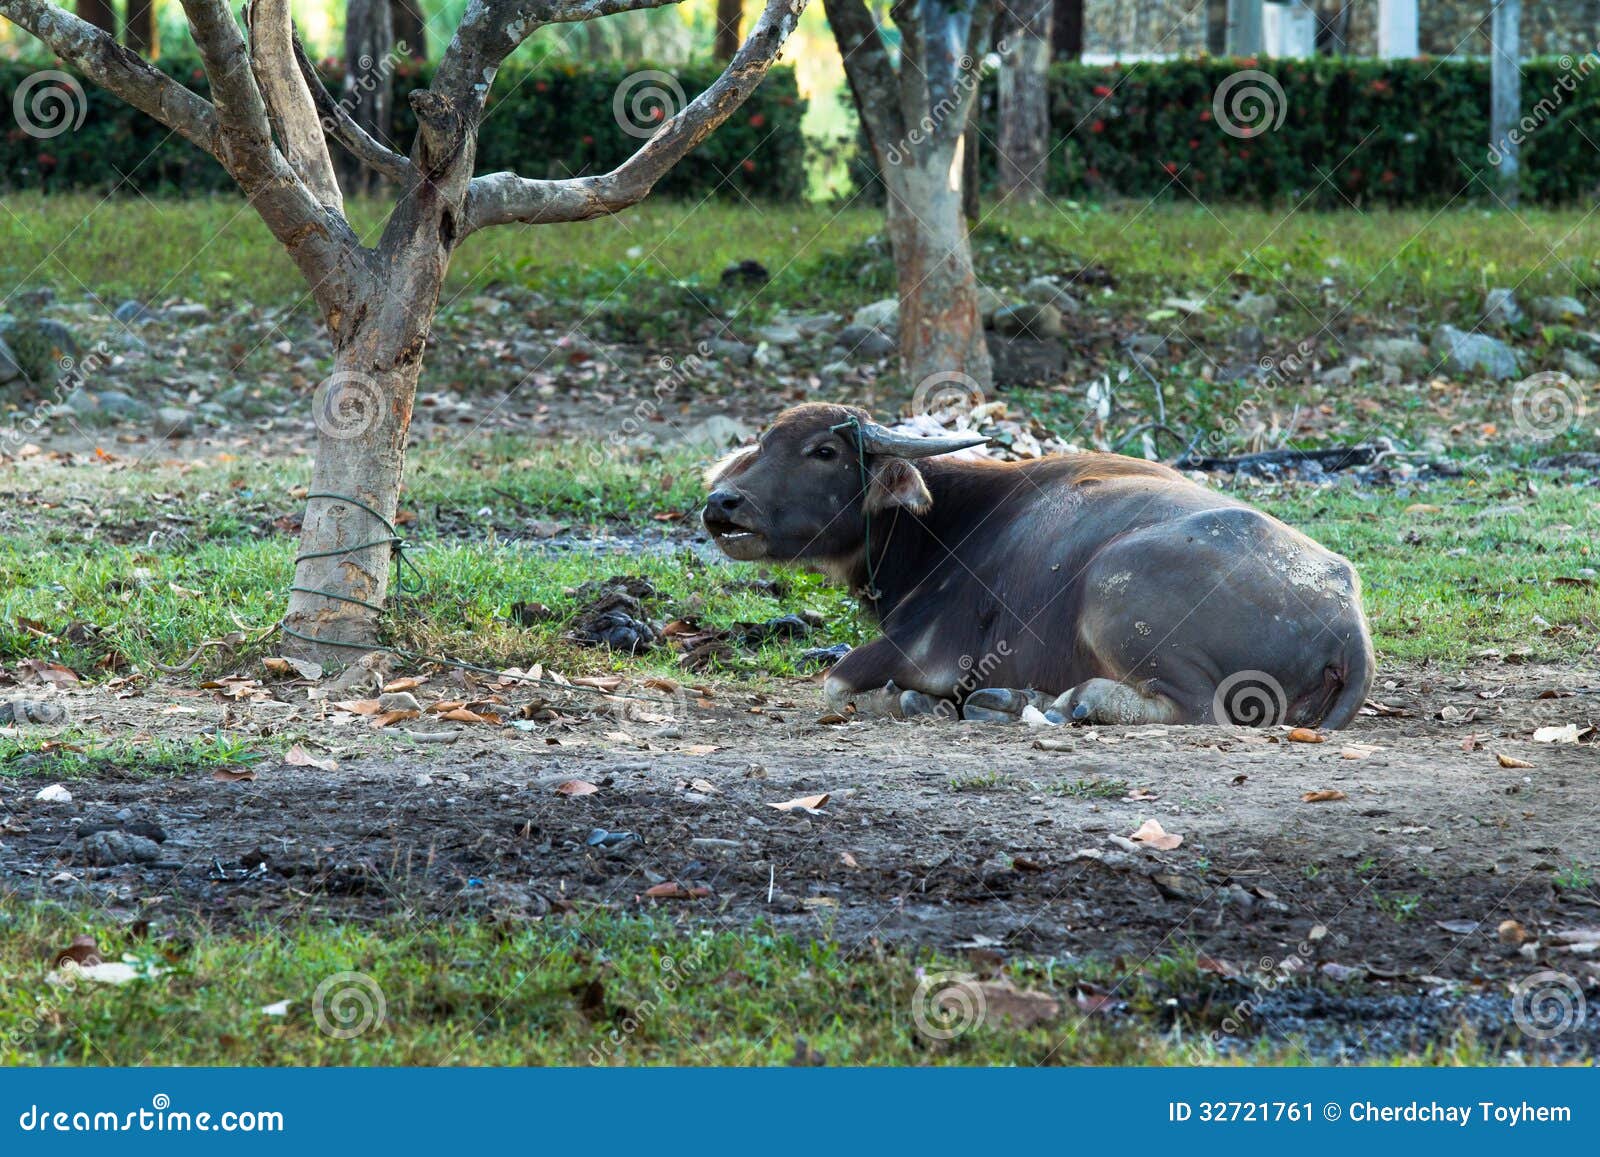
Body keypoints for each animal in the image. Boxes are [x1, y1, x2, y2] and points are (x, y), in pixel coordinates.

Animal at [701, 403, 1374, 729]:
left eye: (823, 451)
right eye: (763, 443)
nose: (720, 504)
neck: (942, 525)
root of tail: (1348, 625)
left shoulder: (929, 650)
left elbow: (836, 685)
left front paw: (904, 701)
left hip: (1114, 589)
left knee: (1199, 712)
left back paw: (1068, 701)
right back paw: (1012, 699)